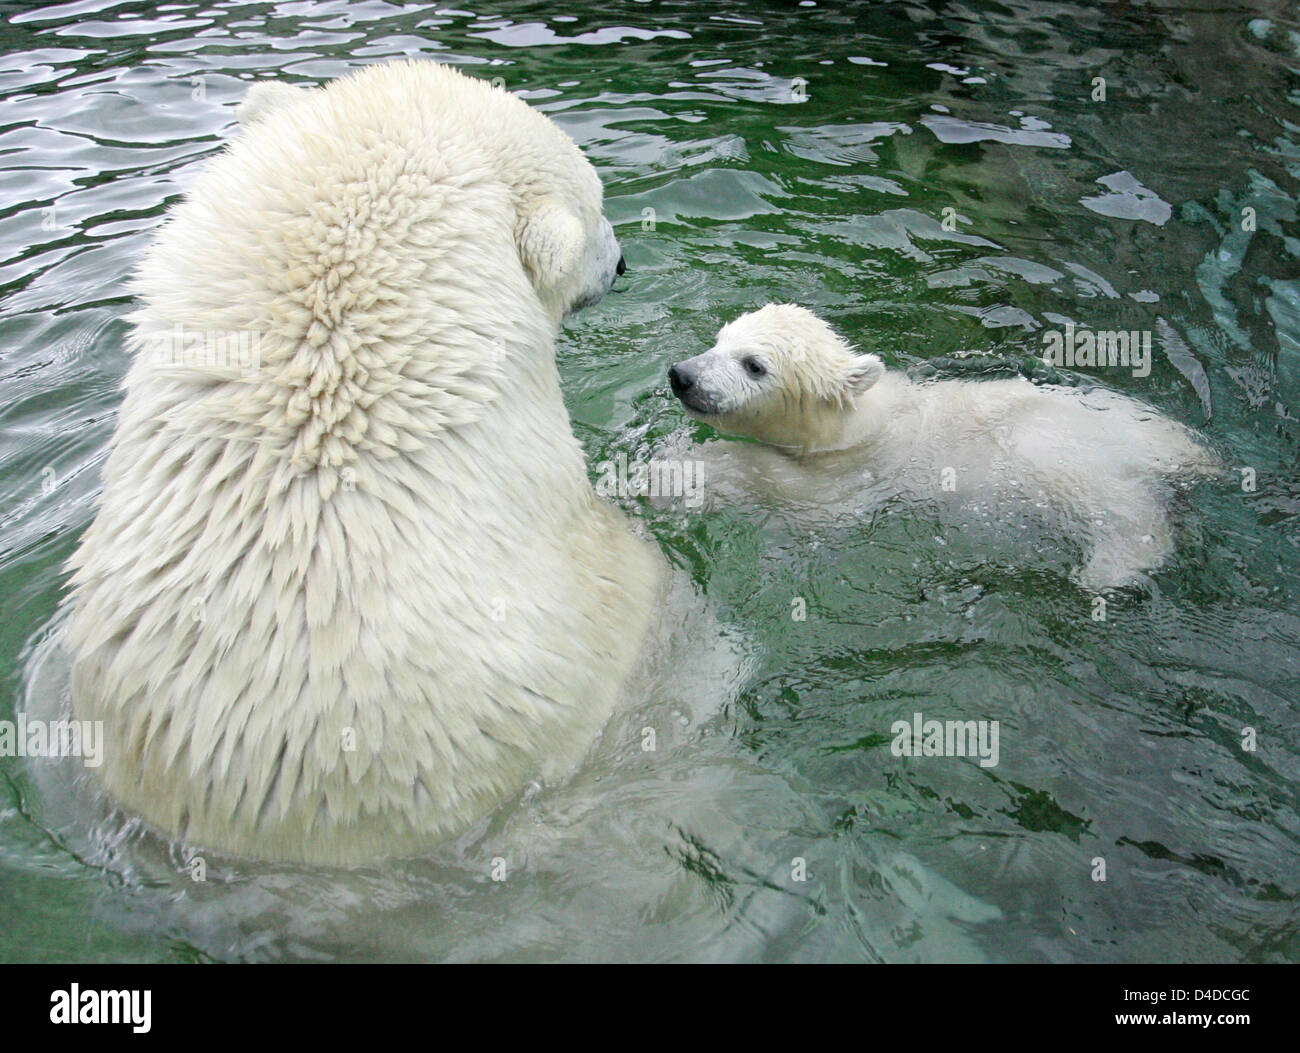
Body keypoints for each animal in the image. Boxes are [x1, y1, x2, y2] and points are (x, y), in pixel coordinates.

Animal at [668, 304, 1218, 589]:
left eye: (754, 364)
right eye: (719, 339)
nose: (681, 375)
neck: (858, 422)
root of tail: (1184, 451)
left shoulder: (868, 472)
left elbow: (809, 504)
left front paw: (685, 468)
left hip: (1073, 455)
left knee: (1121, 515)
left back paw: (1107, 571)